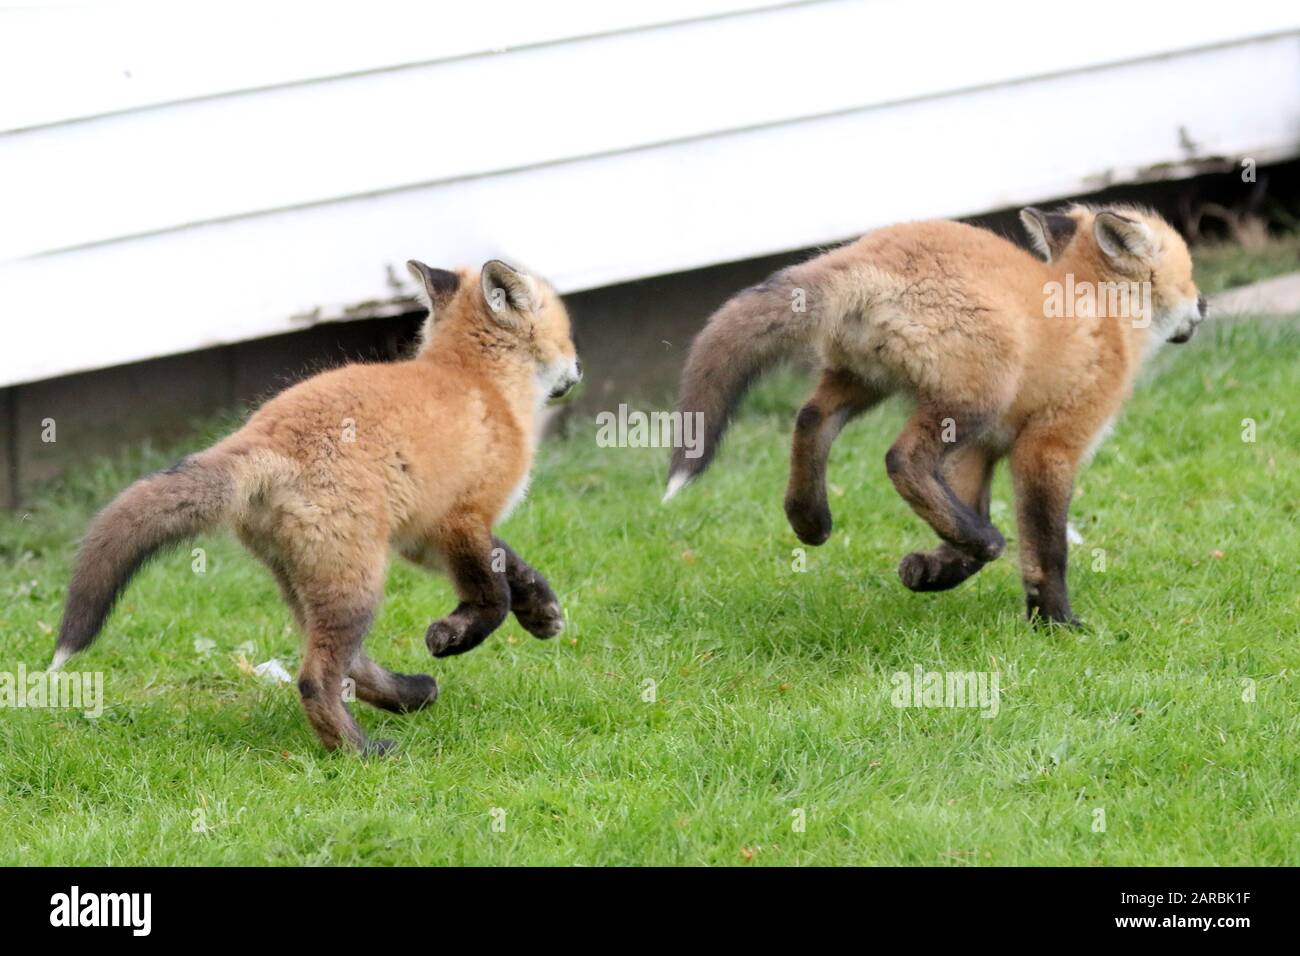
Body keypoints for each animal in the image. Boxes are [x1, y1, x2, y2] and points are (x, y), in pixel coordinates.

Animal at [51, 259, 582, 754]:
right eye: (569, 337)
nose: (579, 370)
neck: (479, 381)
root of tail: (259, 436)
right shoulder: (458, 520)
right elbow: (492, 596)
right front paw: (454, 635)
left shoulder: (425, 535)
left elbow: (512, 565)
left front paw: (542, 612)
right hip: (356, 580)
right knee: (315, 679)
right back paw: (360, 751)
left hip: (310, 578)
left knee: (352, 665)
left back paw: (409, 694)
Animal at [665, 205, 1207, 626]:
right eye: (1190, 277)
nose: (1204, 304)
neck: (1100, 310)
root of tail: (861, 254)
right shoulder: (1048, 446)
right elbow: (1047, 549)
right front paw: (1055, 621)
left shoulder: (981, 450)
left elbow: (962, 531)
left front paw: (934, 572)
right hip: (974, 399)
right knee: (900, 460)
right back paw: (987, 540)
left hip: (868, 384)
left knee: (811, 419)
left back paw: (810, 518)